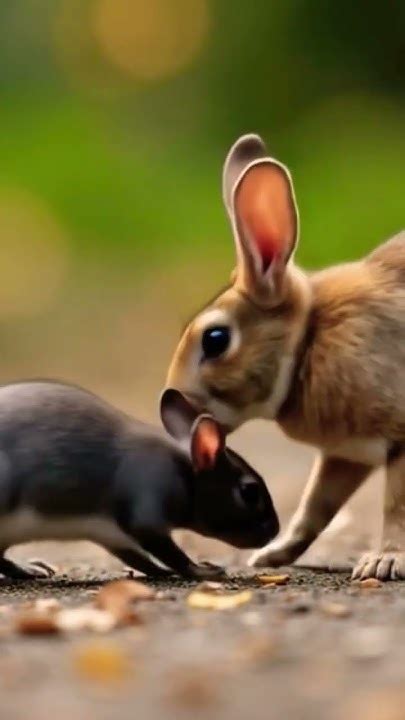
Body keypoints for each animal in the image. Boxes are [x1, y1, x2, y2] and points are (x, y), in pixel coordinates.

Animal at [0, 380, 278, 581]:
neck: (183, 471)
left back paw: (27, 570)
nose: (275, 531)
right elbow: (171, 554)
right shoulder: (147, 507)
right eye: (249, 491)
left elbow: (139, 559)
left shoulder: (114, 536)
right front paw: (203, 570)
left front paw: (161, 572)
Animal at [162, 131, 405, 581]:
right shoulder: (345, 452)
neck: (308, 342)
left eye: (215, 339)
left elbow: (395, 506)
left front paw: (386, 562)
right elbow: (315, 508)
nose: (172, 400)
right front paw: (271, 556)